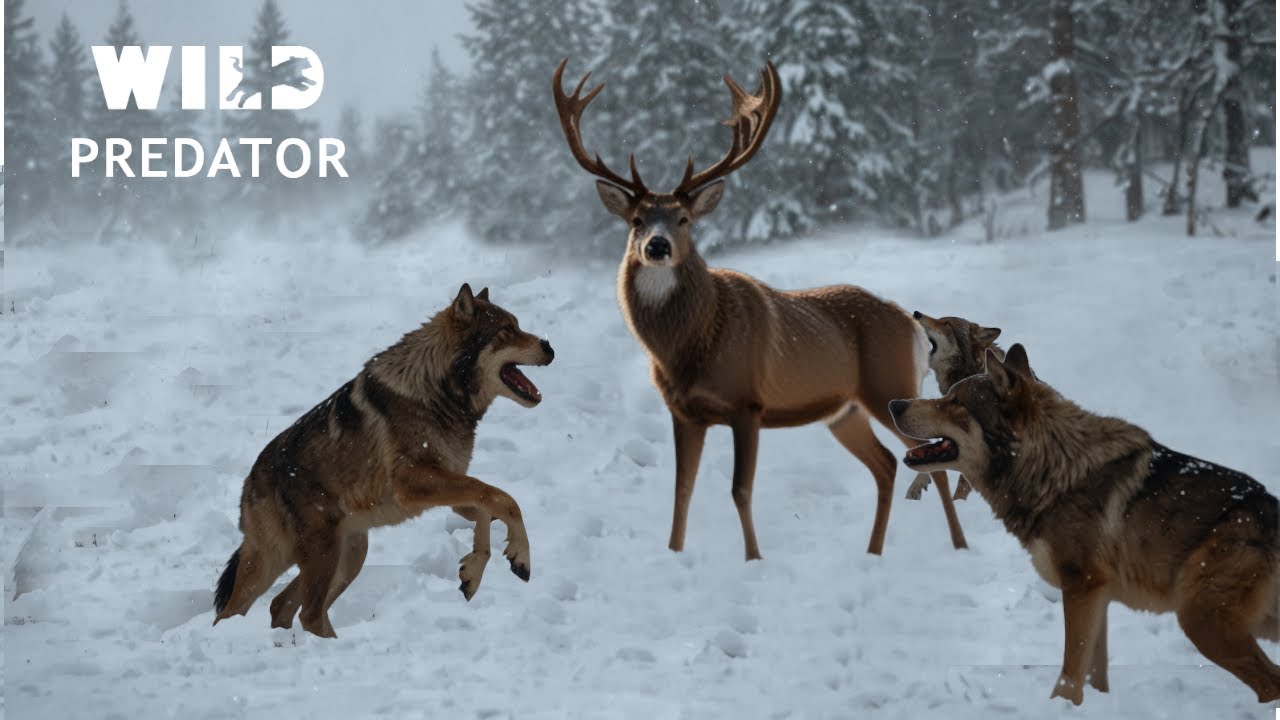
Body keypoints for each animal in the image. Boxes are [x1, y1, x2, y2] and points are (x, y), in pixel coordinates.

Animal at [212, 284, 554, 638]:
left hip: (347, 556)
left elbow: (488, 507)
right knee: (282, 613)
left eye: (518, 325)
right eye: (507, 330)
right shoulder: (414, 483)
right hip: (305, 558)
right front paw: (521, 558)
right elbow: (504, 498)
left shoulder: (447, 486)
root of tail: (249, 483)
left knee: (285, 606)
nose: (550, 347)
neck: (438, 392)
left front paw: (472, 573)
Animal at [890, 344, 1280, 704]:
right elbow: (1093, 674)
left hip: (1203, 625)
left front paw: (1060, 706)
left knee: (1270, 683)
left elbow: (1069, 670)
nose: (894, 404)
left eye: (954, 402)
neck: (1054, 468)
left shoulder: (1081, 587)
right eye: (946, 396)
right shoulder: (1097, 596)